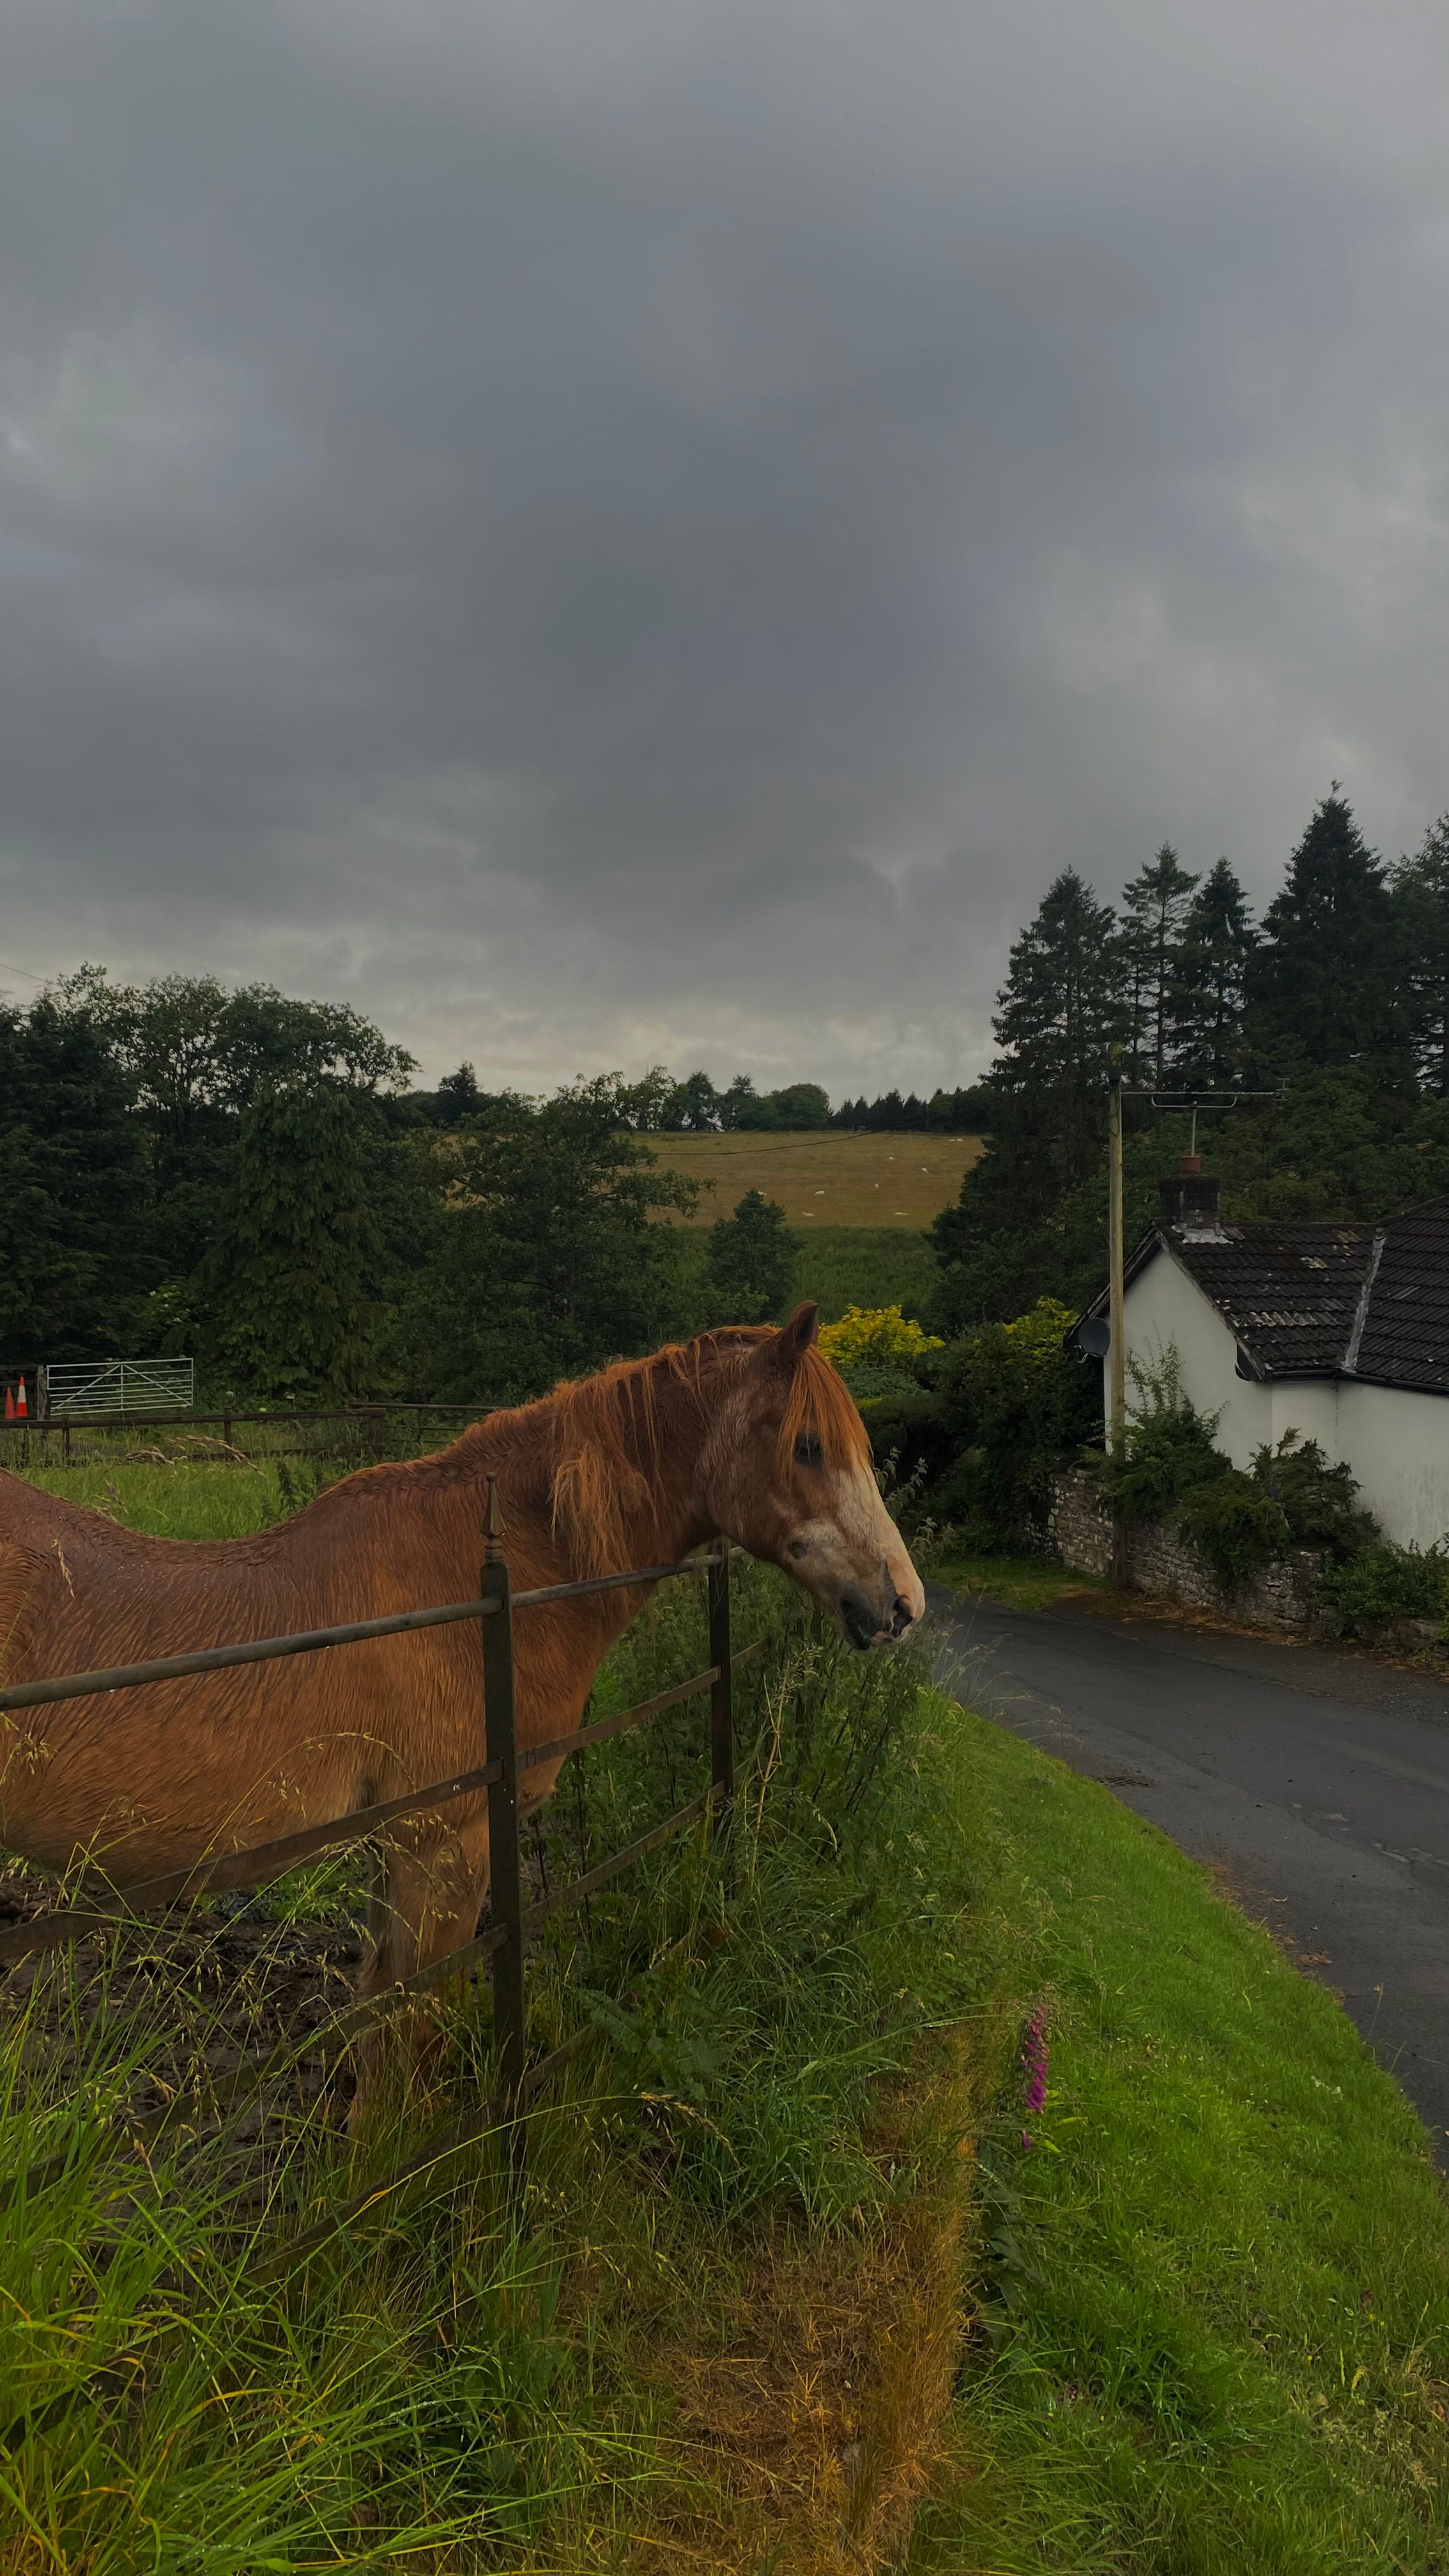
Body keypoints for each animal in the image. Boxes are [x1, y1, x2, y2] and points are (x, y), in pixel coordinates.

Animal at [0, 1306, 923, 2048]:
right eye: (808, 1446)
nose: (903, 1603)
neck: (488, 1580)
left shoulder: (396, 1848)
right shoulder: (444, 1845)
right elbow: (409, 2024)